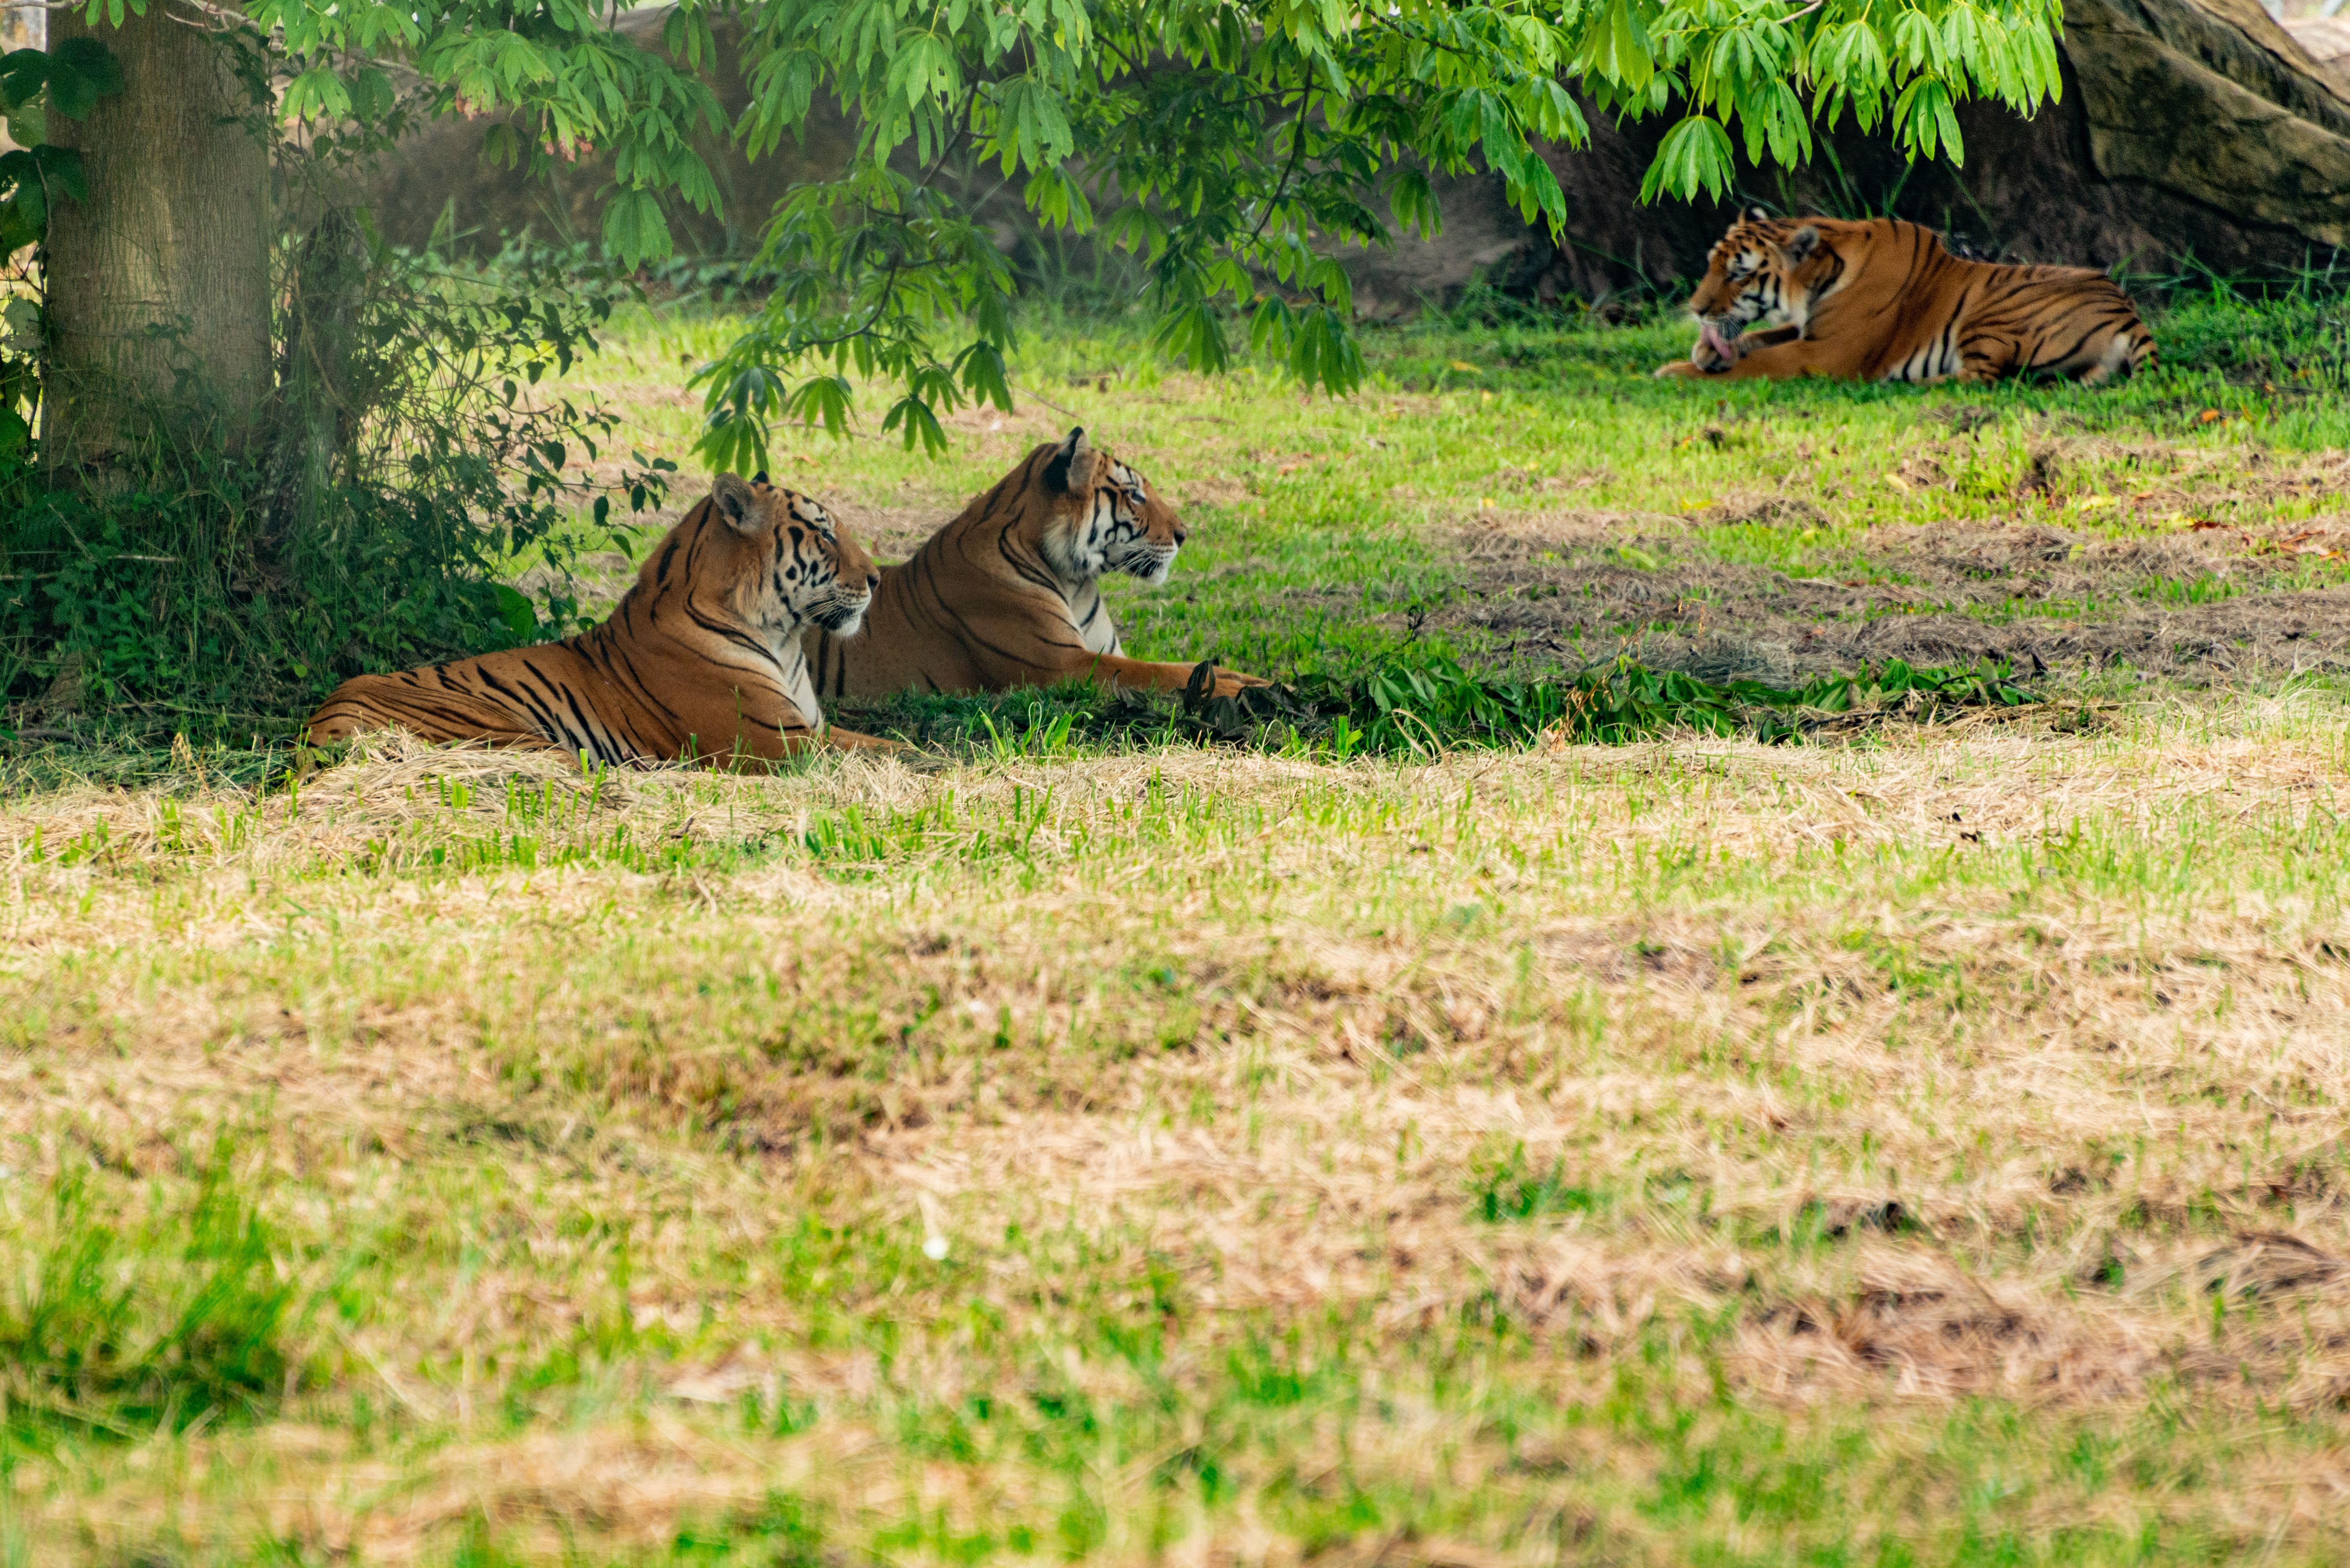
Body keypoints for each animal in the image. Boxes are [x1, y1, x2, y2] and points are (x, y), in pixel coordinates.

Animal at [303, 474, 900, 766]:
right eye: (823, 532)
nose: (876, 579)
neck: (783, 637)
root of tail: (317, 728)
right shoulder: (777, 740)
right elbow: (878, 755)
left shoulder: (816, 727)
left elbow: (888, 743)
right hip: (515, 736)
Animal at [803, 427, 1270, 702]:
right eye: (1135, 494)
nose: (1184, 534)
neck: (1075, 579)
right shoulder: (1061, 665)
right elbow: (1154, 673)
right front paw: (1233, 689)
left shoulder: (1100, 650)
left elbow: (1183, 666)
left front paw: (1252, 680)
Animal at [1655, 210, 2154, 385]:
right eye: (1712, 265)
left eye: (1739, 274)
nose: (1696, 310)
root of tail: (2128, 311)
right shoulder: (1806, 329)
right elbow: (1761, 337)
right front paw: (1705, 353)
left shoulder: (1827, 353)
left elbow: (1759, 359)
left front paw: (1676, 371)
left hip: (1990, 317)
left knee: (1983, 378)